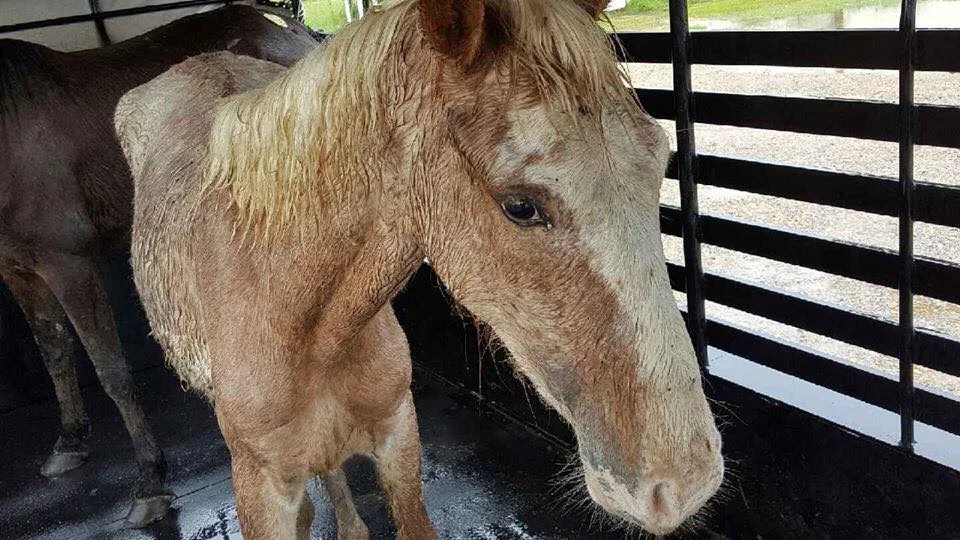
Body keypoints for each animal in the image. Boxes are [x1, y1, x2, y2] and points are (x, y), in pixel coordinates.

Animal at [0, 5, 317, 527]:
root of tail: (287, 24)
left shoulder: (68, 263)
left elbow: (110, 369)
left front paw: (150, 481)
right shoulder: (20, 272)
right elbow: (55, 354)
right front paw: (70, 441)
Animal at [116, 0, 725, 536]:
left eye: (660, 161)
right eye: (520, 207)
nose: (682, 483)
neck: (300, 323)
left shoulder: (398, 438)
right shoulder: (262, 493)